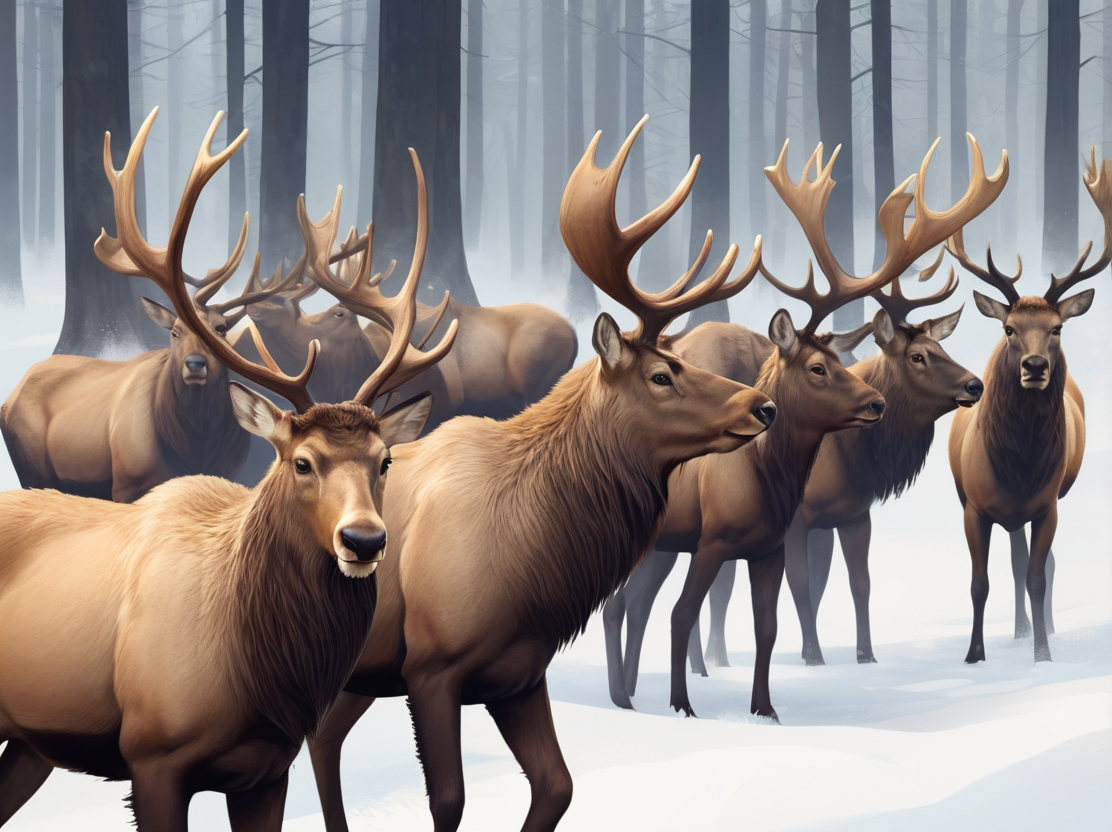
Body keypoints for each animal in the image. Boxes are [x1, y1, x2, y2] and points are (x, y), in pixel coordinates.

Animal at [0, 224, 301, 503]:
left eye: (221, 329)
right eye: (175, 331)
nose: (195, 364)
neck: (195, 447)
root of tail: (10, 397)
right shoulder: (126, 483)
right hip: (32, 469)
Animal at [302, 117, 776, 832]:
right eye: (660, 374)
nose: (764, 405)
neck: (535, 567)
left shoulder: (520, 672)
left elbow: (558, 786)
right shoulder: (433, 666)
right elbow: (448, 799)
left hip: (364, 669)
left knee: (325, 737)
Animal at [602, 136, 1007, 719]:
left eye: (942, 346)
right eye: (918, 356)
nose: (975, 385)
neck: (857, 461)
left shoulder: (854, 515)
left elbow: (852, 585)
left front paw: (859, 659)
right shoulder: (787, 526)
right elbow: (799, 587)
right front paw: (811, 659)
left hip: (663, 545)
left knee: (634, 602)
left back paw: (633, 689)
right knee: (629, 603)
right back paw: (648, 687)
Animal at [947, 148, 1110, 665]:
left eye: (1057, 328)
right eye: (1009, 329)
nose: (1035, 366)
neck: (1018, 464)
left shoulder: (1046, 504)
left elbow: (1037, 576)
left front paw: (1043, 653)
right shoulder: (973, 506)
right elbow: (978, 583)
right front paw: (974, 654)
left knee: (1036, 562)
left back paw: (1038, 630)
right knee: (1013, 556)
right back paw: (1016, 631)